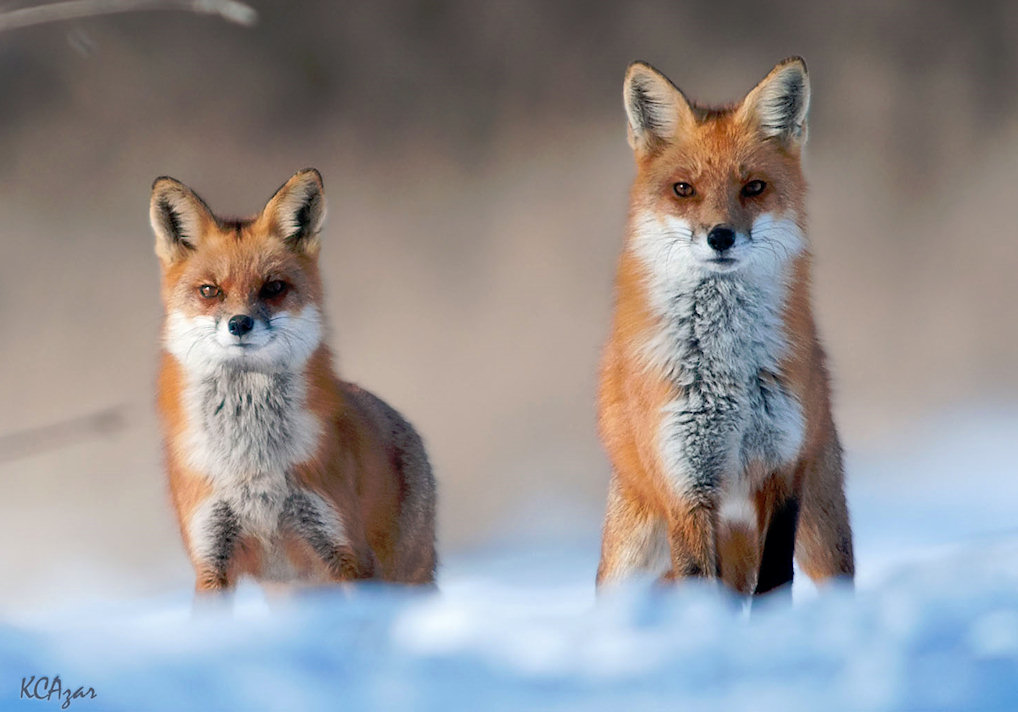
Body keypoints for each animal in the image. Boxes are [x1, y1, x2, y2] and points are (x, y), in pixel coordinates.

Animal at [150, 168, 436, 600]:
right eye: (209, 291)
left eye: (273, 287)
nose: (239, 324)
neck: (251, 465)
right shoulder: (211, 557)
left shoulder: (344, 550)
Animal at [596, 58, 854, 595]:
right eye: (684, 189)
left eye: (753, 186)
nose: (720, 236)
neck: (725, 364)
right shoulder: (686, 487)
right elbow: (699, 582)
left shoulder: (782, 473)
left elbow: (775, 582)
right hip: (628, 558)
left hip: (823, 535)